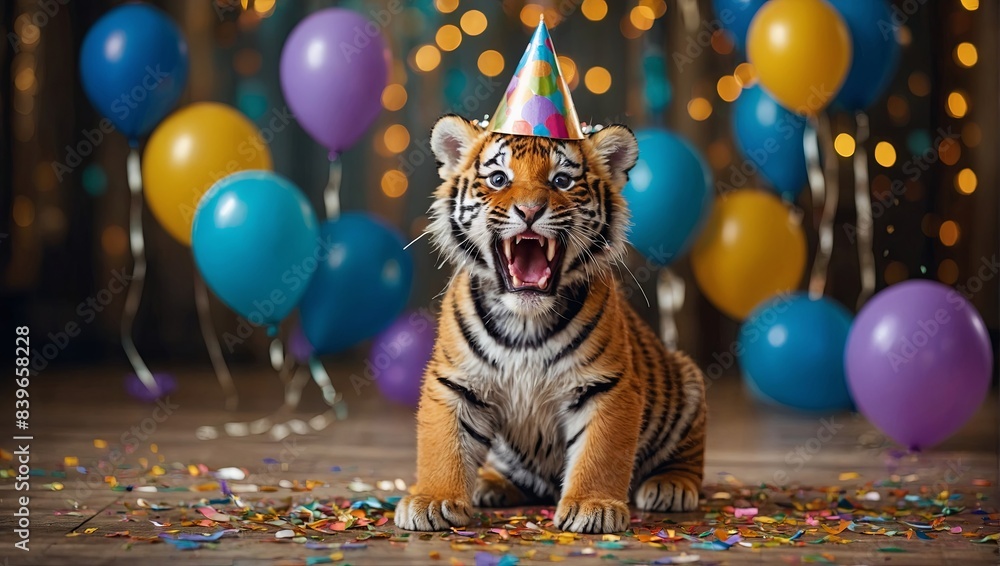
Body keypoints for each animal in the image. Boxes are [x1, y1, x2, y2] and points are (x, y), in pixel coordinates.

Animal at [393, 114, 707, 534]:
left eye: (561, 181)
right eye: (498, 179)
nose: (529, 210)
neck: (525, 320)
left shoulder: (605, 385)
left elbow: (599, 452)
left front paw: (593, 506)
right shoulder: (455, 382)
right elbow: (443, 445)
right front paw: (433, 499)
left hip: (688, 382)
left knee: (687, 454)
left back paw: (671, 486)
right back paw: (490, 483)